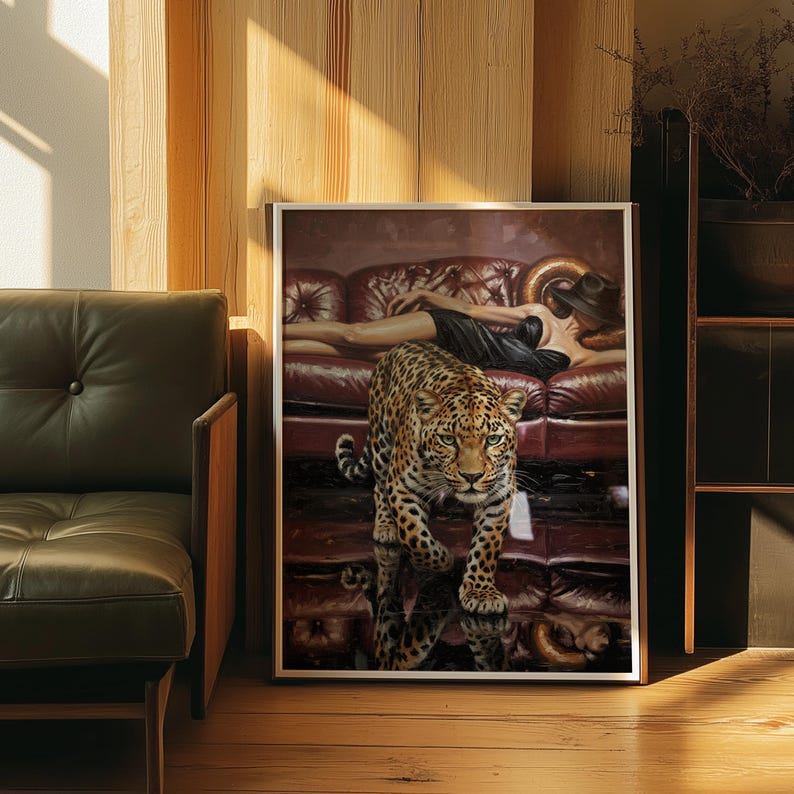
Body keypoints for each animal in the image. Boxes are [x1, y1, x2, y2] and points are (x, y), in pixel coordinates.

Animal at [335, 340, 527, 615]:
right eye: (448, 439)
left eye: (493, 439)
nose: (471, 476)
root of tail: (402, 344)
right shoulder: (402, 487)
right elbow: (415, 536)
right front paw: (443, 561)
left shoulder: (499, 495)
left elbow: (487, 545)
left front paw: (481, 592)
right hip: (382, 445)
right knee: (378, 488)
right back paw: (385, 528)